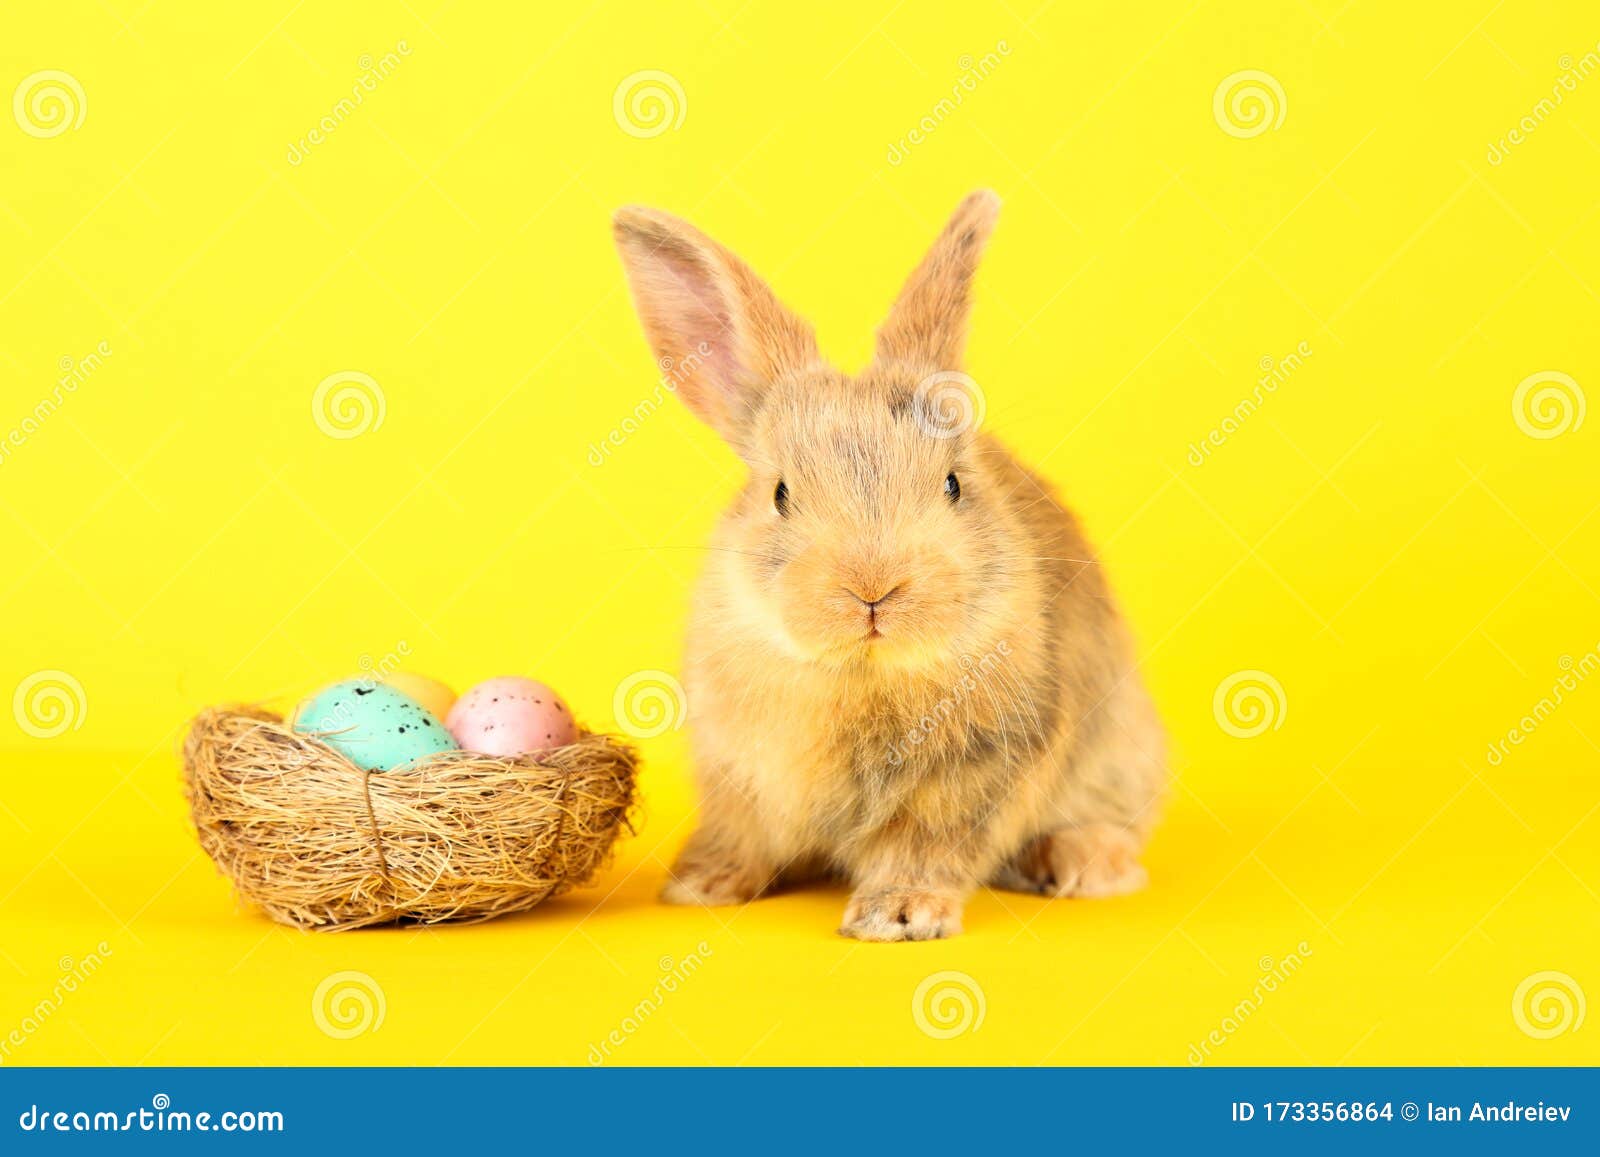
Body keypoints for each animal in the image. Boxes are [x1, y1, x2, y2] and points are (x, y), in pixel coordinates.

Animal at [612, 189, 1165, 940]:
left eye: (954, 484)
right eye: (780, 493)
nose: (872, 588)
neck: (860, 673)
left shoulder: (967, 780)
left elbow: (923, 846)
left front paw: (897, 915)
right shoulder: (739, 778)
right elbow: (741, 834)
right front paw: (702, 885)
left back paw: (1079, 863)